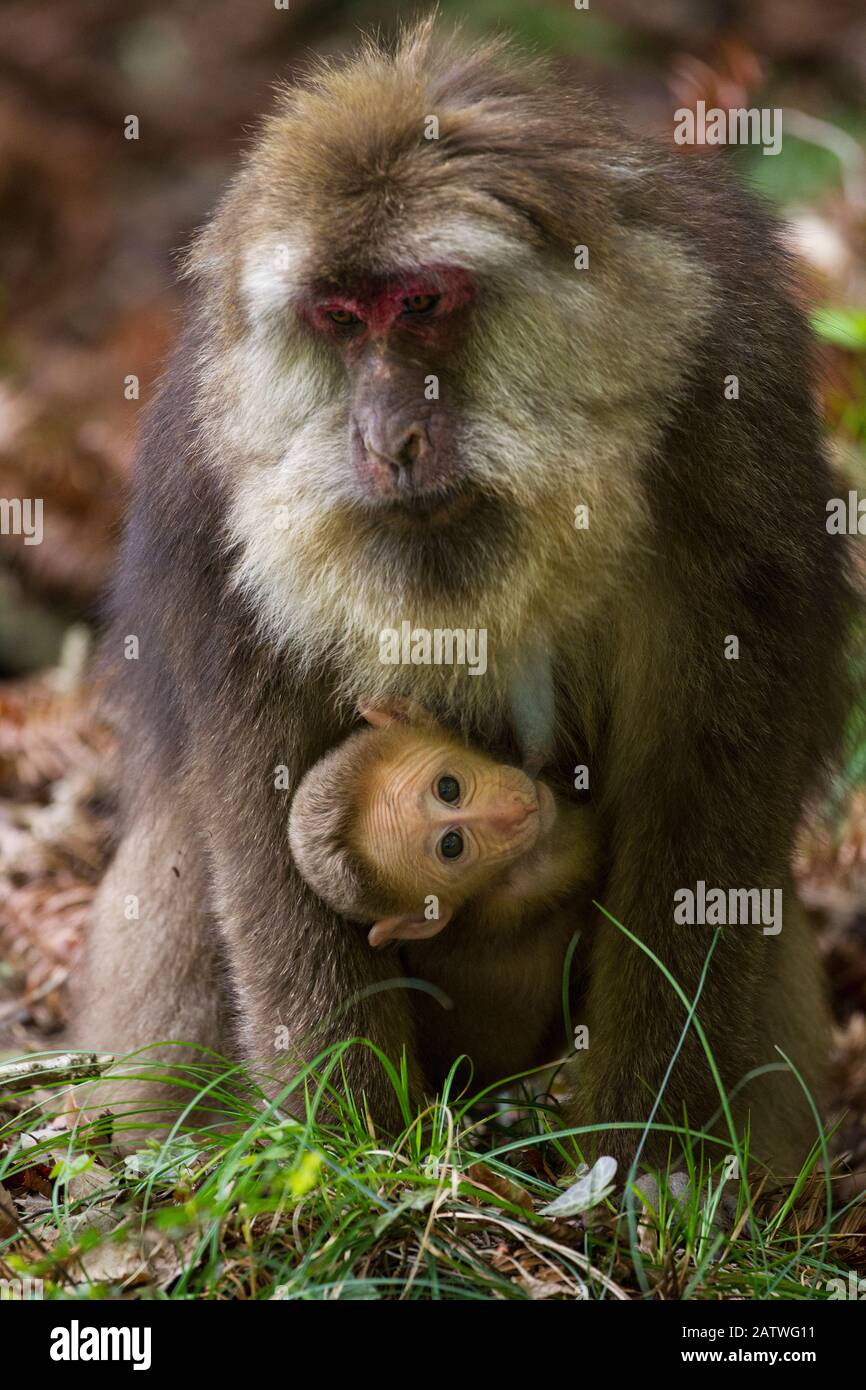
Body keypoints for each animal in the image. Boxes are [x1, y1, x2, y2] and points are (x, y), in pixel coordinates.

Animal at [71, 19, 850, 1175]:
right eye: (338, 320)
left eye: (422, 303)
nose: (385, 437)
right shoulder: (209, 493)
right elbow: (260, 818)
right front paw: (349, 1165)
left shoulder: (734, 414)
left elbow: (708, 799)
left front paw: (646, 1158)